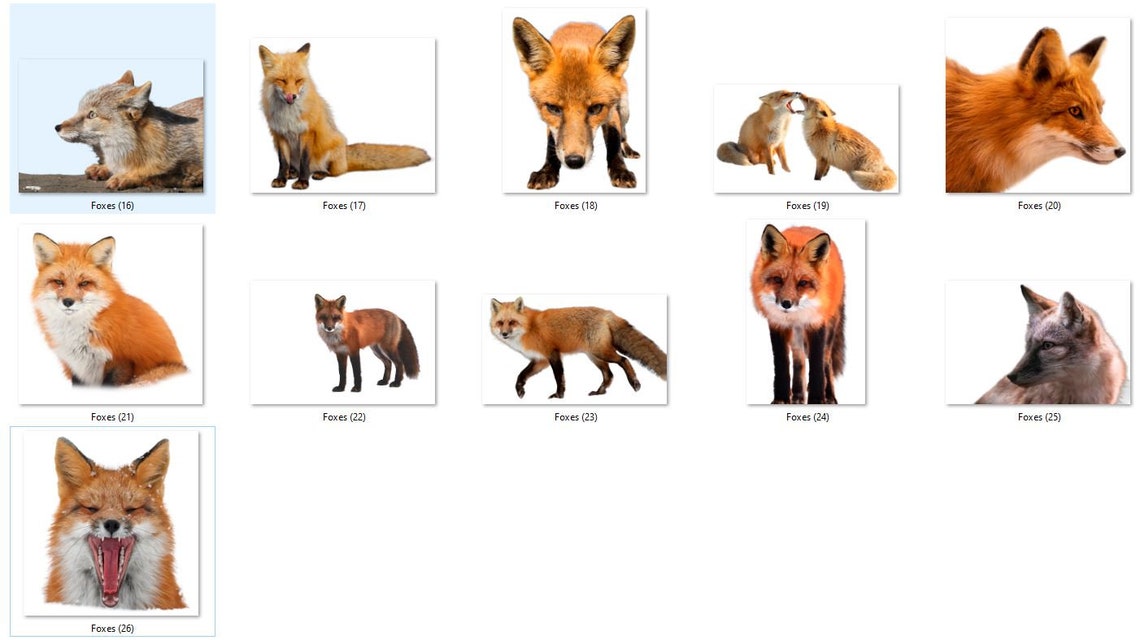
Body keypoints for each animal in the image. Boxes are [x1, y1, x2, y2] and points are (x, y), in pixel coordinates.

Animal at [55, 71, 203, 191]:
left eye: (92, 115)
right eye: (80, 109)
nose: (57, 127)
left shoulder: (192, 169)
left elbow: (153, 175)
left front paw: (127, 176)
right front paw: (103, 168)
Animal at [258, 43, 431, 190]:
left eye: (299, 80)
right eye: (282, 80)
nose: (292, 96)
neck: (288, 115)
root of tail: (345, 155)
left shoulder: (308, 133)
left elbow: (304, 161)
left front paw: (303, 182)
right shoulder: (279, 134)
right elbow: (283, 162)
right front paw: (281, 178)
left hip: (332, 151)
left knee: (335, 172)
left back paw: (319, 173)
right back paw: (292, 173)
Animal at [489, 297, 666, 399]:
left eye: (512, 322)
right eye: (500, 323)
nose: (504, 334)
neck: (529, 327)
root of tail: (607, 312)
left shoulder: (552, 354)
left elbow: (559, 377)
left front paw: (559, 395)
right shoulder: (540, 360)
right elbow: (521, 375)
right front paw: (520, 390)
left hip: (601, 352)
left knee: (624, 360)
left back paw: (634, 383)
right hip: (594, 356)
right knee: (609, 374)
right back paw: (600, 392)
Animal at [512, 15, 640, 190]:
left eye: (596, 108)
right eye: (553, 108)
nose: (574, 161)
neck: (575, 41)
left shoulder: (611, 110)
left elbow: (614, 142)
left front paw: (620, 170)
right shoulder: (550, 122)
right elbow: (551, 145)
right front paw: (547, 171)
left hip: (625, 108)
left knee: (624, 133)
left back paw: (627, 150)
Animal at [751, 225, 846, 404]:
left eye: (803, 283)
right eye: (778, 279)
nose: (786, 304)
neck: (795, 315)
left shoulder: (817, 324)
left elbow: (816, 365)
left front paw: (817, 399)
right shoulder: (777, 324)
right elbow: (782, 364)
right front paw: (781, 398)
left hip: (830, 327)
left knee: (826, 360)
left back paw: (829, 395)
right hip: (796, 336)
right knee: (799, 360)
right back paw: (797, 396)